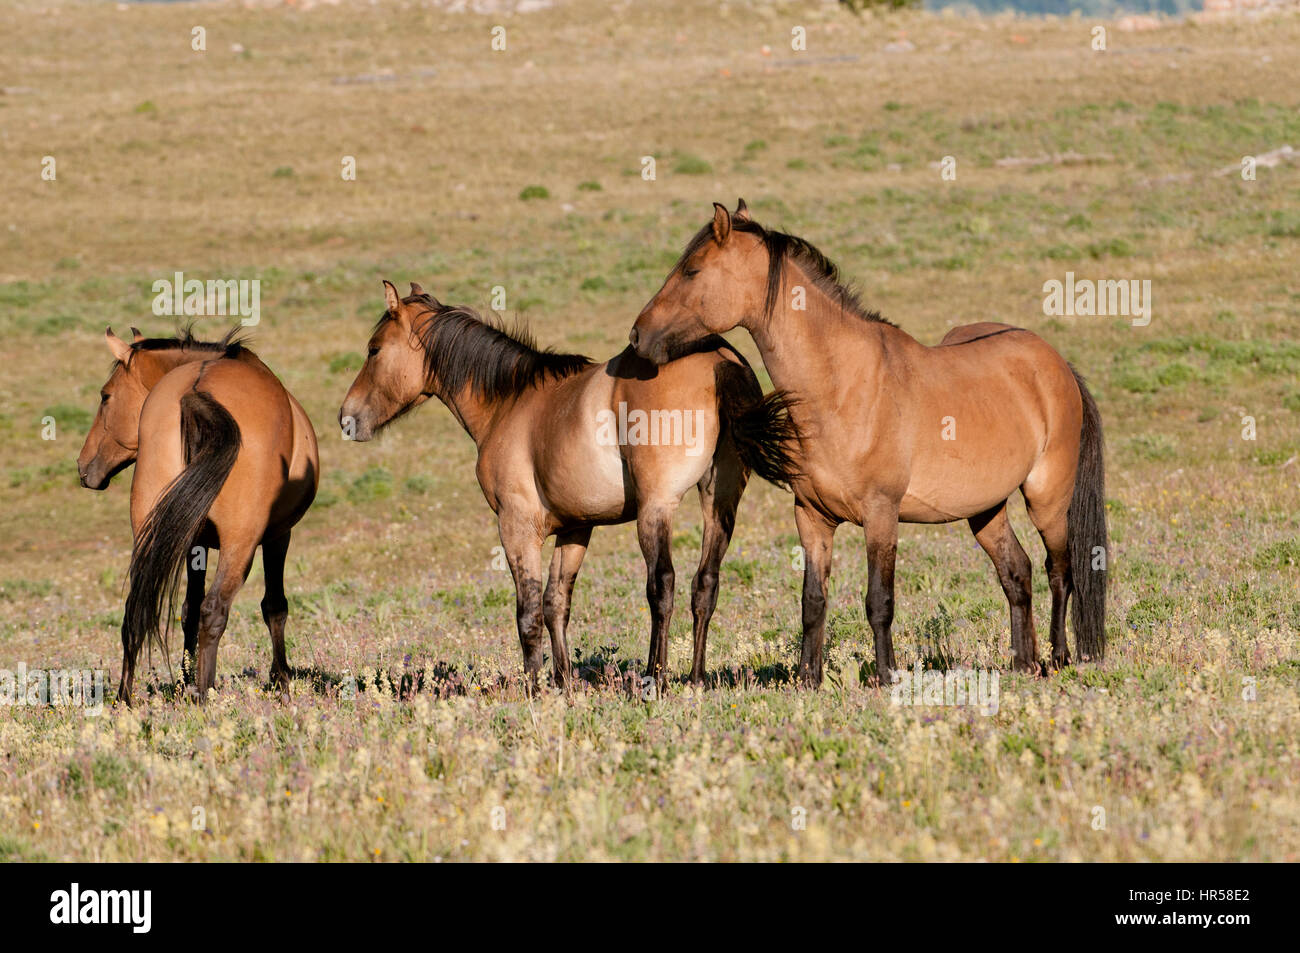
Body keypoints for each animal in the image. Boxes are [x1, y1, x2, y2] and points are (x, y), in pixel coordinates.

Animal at [77, 327, 320, 702]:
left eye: (105, 396)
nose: (83, 467)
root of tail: (198, 391)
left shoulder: (194, 541)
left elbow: (187, 611)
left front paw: (184, 681)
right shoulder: (279, 535)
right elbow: (274, 607)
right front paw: (282, 683)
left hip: (151, 532)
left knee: (136, 611)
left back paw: (126, 699)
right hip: (240, 544)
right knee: (214, 610)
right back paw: (205, 697)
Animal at [338, 281, 797, 690]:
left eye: (374, 349)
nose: (347, 418)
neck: (509, 403)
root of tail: (720, 358)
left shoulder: (517, 527)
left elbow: (527, 612)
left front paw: (535, 689)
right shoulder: (576, 528)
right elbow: (555, 604)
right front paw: (563, 684)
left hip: (657, 508)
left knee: (661, 585)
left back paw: (657, 679)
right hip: (719, 503)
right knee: (705, 584)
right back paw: (697, 680)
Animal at [628, 200, 1108, 686]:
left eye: (691, 270)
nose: (637, 336)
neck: (843, 386)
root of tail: (1056, 364)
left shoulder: (881, 514)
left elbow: (880, 601)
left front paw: (886, 675)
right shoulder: (812, 517)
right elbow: (813, 601)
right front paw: (809, 678)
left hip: (1047, 499)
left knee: (1059, 571)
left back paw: (1059, 657)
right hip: (985, 510)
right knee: (1017, 572)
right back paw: (1024, 663)